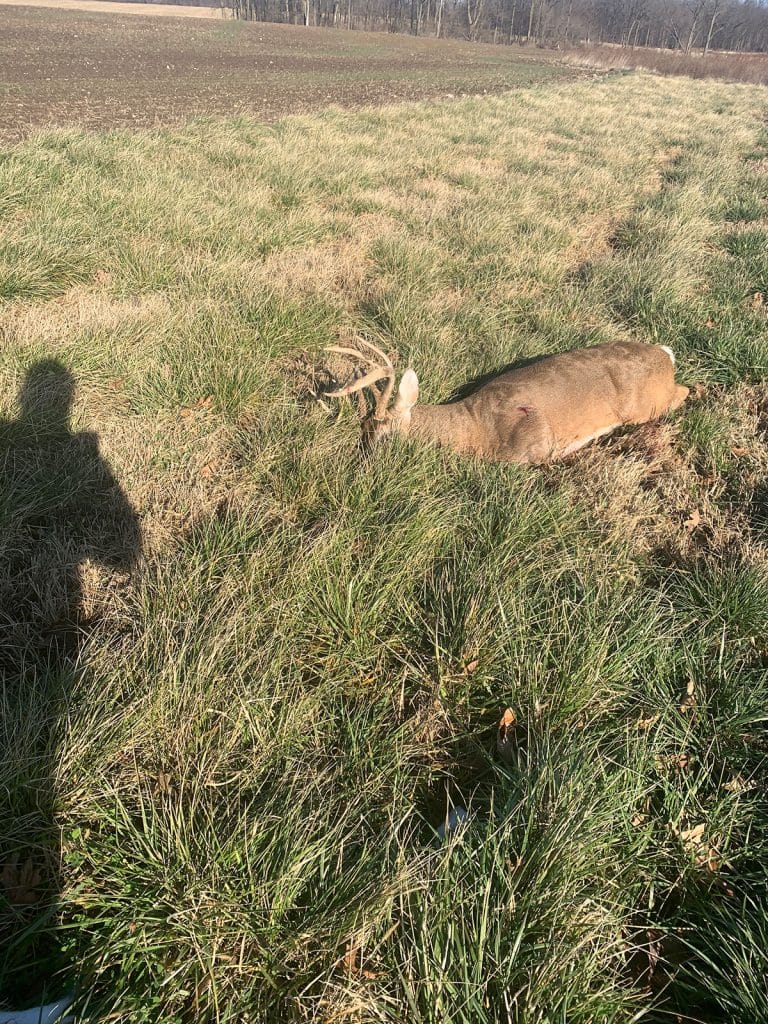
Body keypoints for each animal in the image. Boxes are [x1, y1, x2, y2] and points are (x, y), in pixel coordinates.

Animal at [325, 339, 689, 463]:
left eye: (384, 436)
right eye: (364, 433)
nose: (361, 462)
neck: (474, 429)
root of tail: (664, 354)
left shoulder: (533, 443)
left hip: (648, 405)